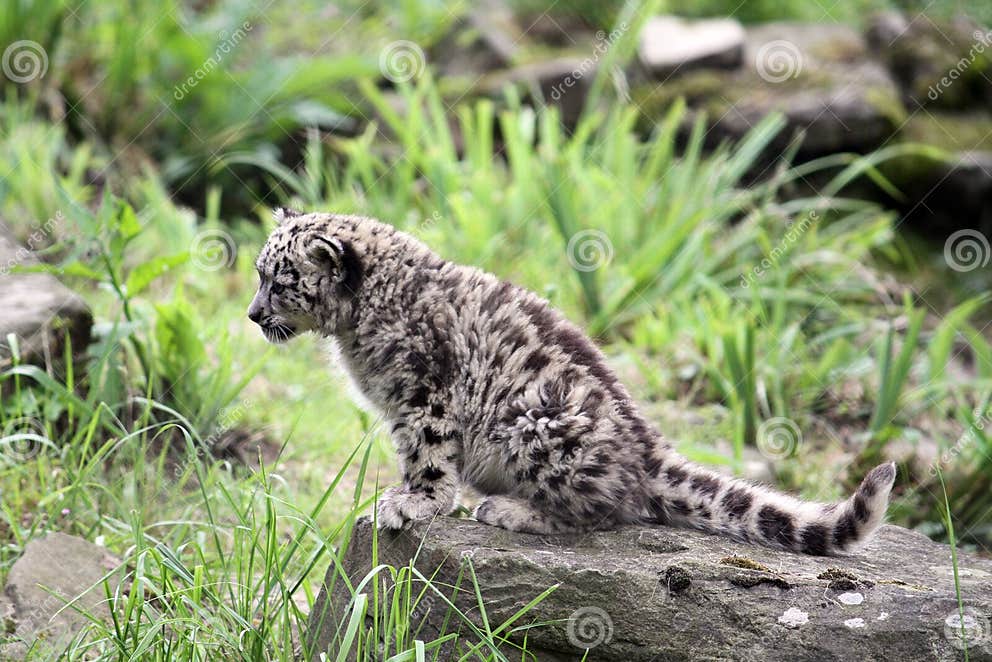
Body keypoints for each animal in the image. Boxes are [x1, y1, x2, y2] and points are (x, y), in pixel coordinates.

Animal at [248, 208, 897, 555]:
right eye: (258, 273)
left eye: (280, 281)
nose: (253, 315)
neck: (356, 329)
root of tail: (648, 448)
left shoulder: (425, 394)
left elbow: (428, 455)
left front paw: (413, 503)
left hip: (539, 423)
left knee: (607, 512)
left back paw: (510, 510)